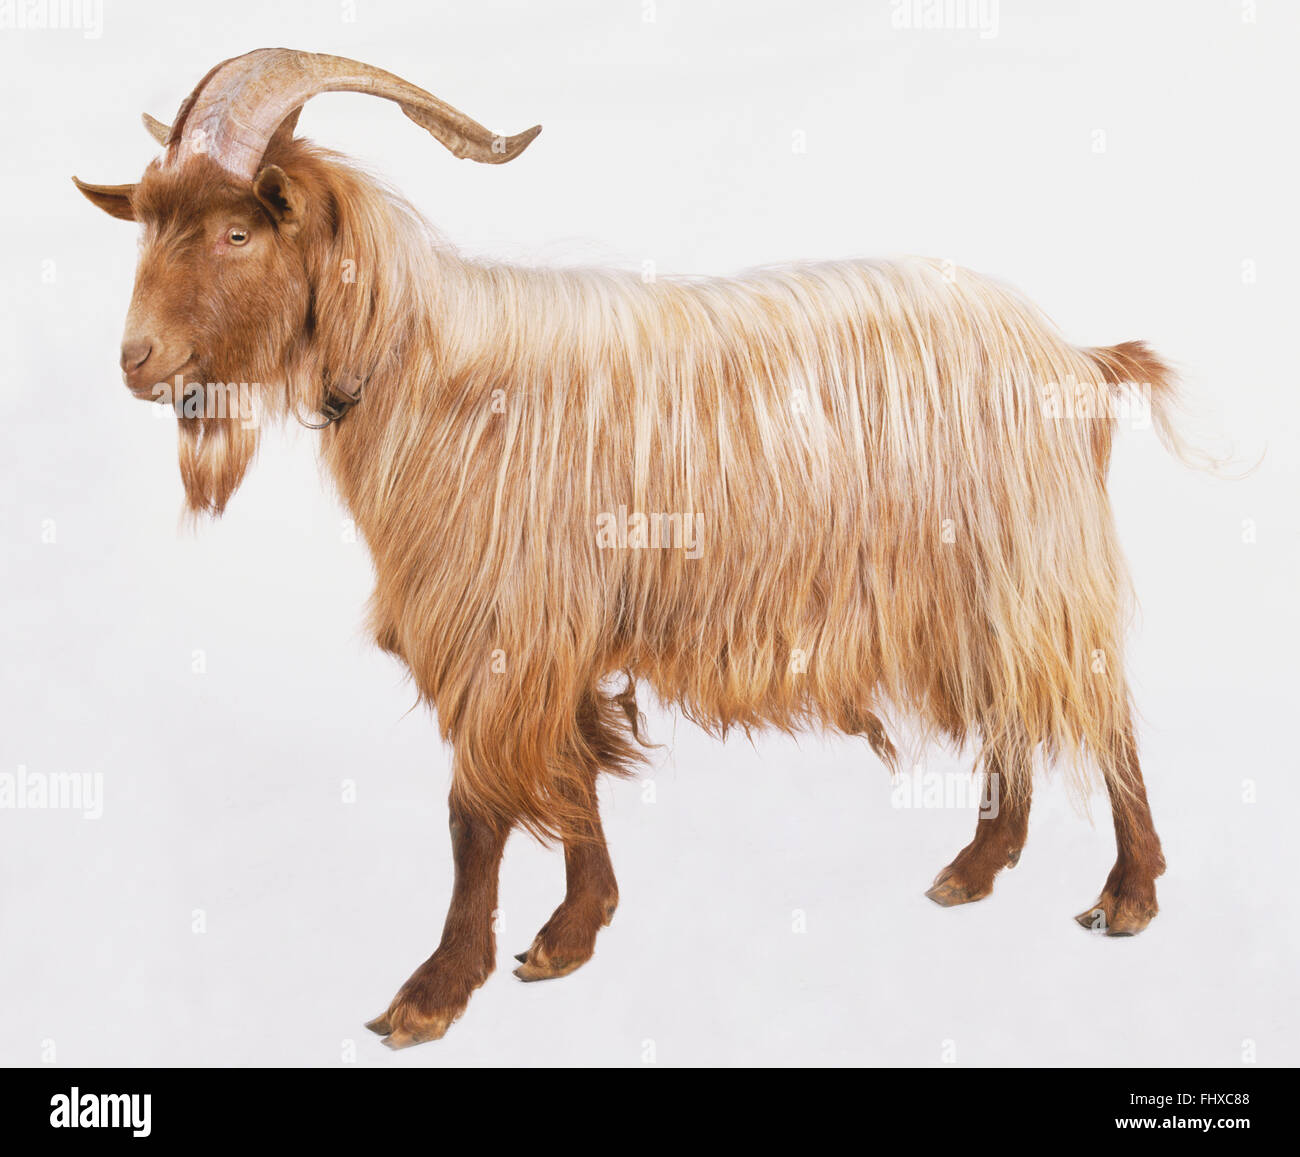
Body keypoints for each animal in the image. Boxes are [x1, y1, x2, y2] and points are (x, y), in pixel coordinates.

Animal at [77, 48, 1177, 1048]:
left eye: (236, 229)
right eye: (150, 224)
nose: (136, 360)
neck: (428, 369)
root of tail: (1074, 356)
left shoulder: (507, 621)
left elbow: (477, 808)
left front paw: (434, 992)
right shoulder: (555, 622)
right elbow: (570, 771)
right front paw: (573, 931)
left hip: (1036, 552)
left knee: (1097, 702)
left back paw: (1128, 893)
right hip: (974, 581)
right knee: (1014, 700)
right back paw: (979, 865)